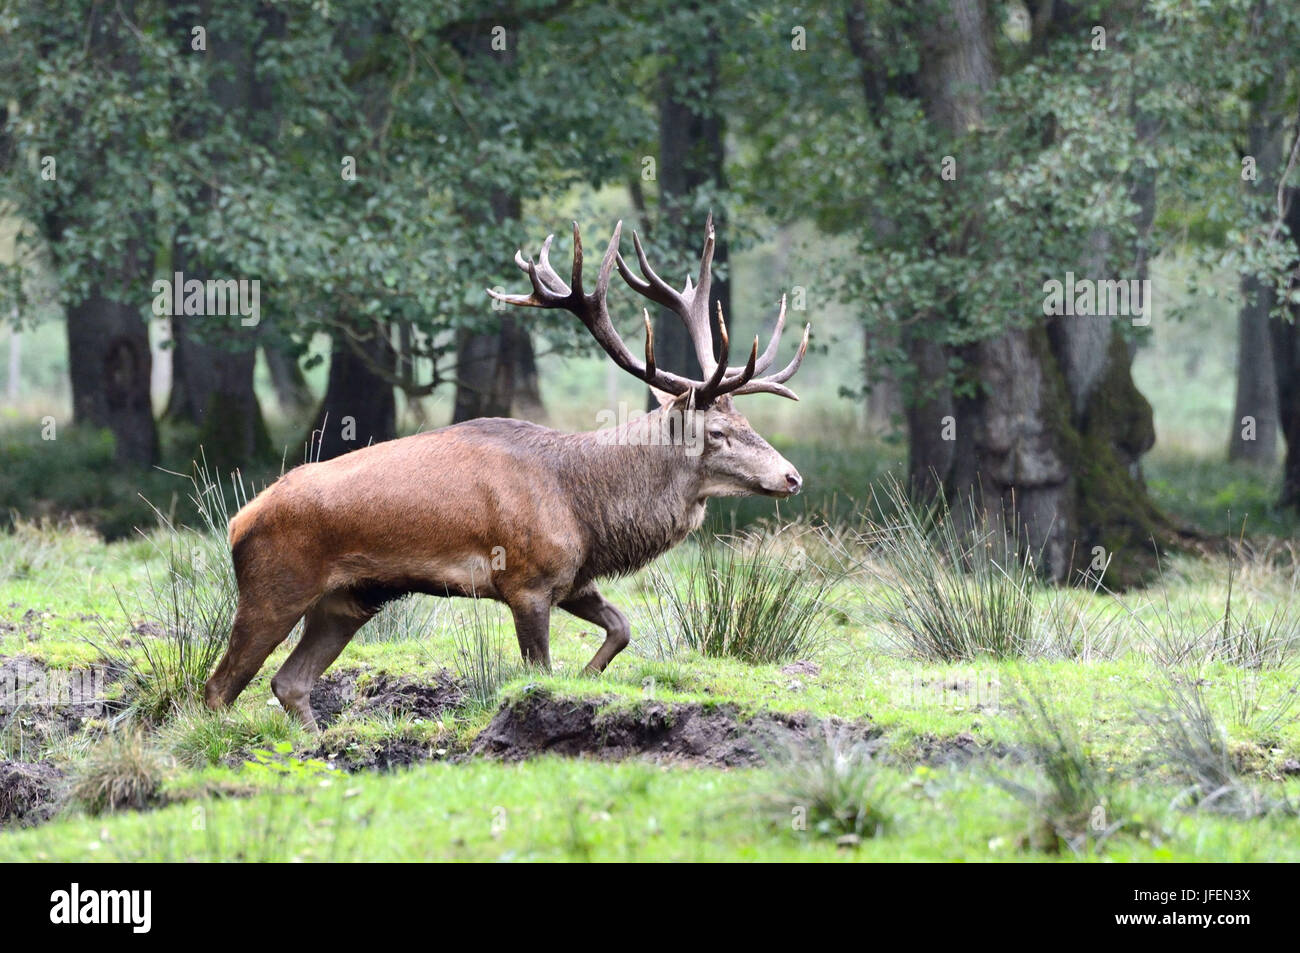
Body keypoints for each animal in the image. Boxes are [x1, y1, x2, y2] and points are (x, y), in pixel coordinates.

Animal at [203, 217, 810, 730]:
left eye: (748, 421)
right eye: (718, 432)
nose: (791, 477)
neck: (589, 510)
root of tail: (237, 521)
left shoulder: (573, 577)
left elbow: (622, 627)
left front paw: (587, 678)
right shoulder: (526, 580)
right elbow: (538, 668)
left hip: (347, 601)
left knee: (289, 681)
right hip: (275, 586)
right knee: (220, 686)